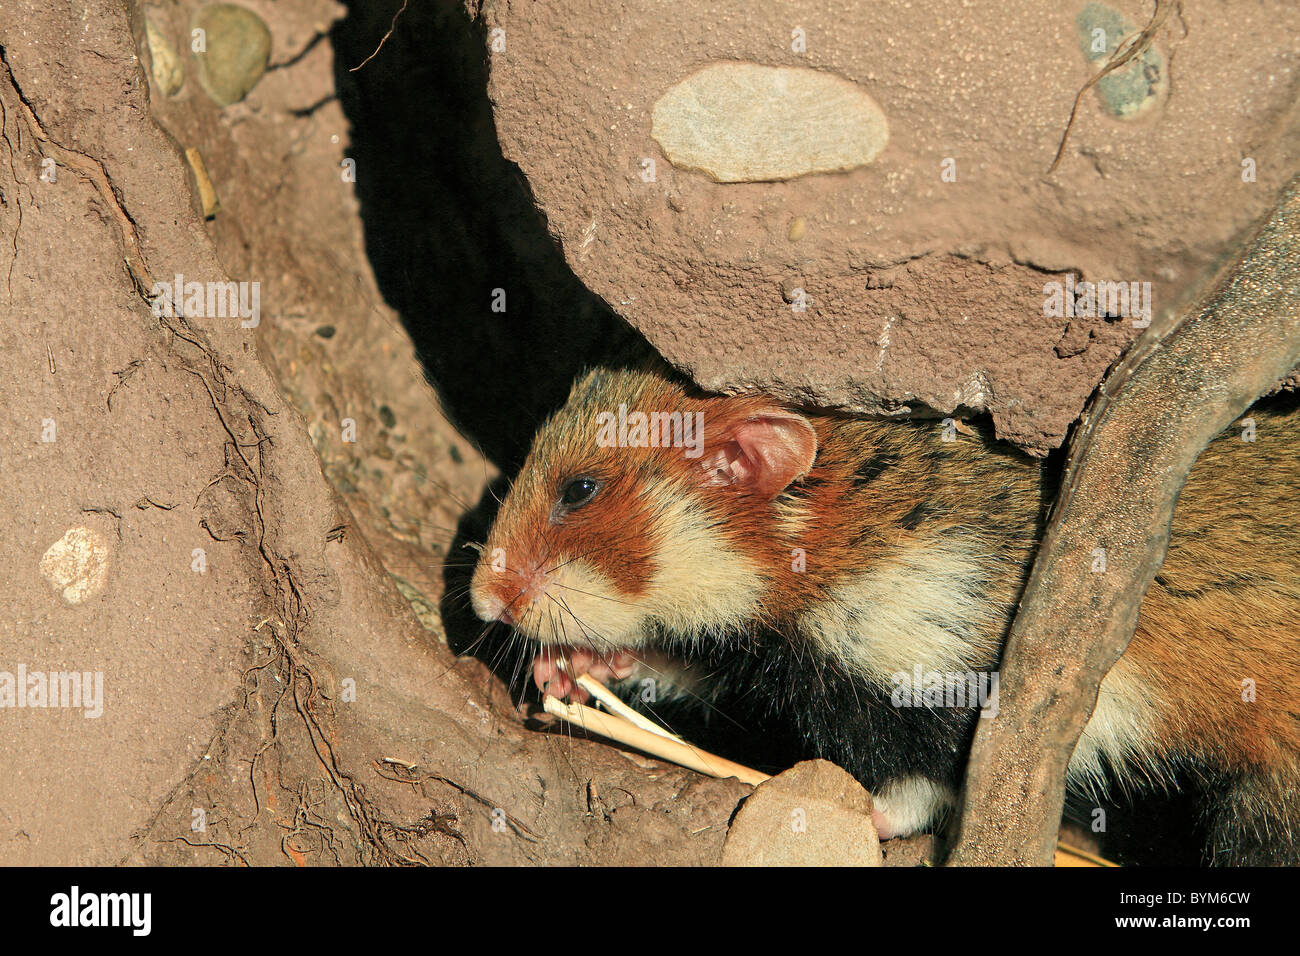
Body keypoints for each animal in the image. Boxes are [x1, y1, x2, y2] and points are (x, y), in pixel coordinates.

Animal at [468, 362, 1300, 864]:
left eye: (579, 491)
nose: (480, 599)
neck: (827, 538)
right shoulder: (764, 651)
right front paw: (568, 672)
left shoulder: (945, 669)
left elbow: (927, 781)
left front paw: (860, 820)